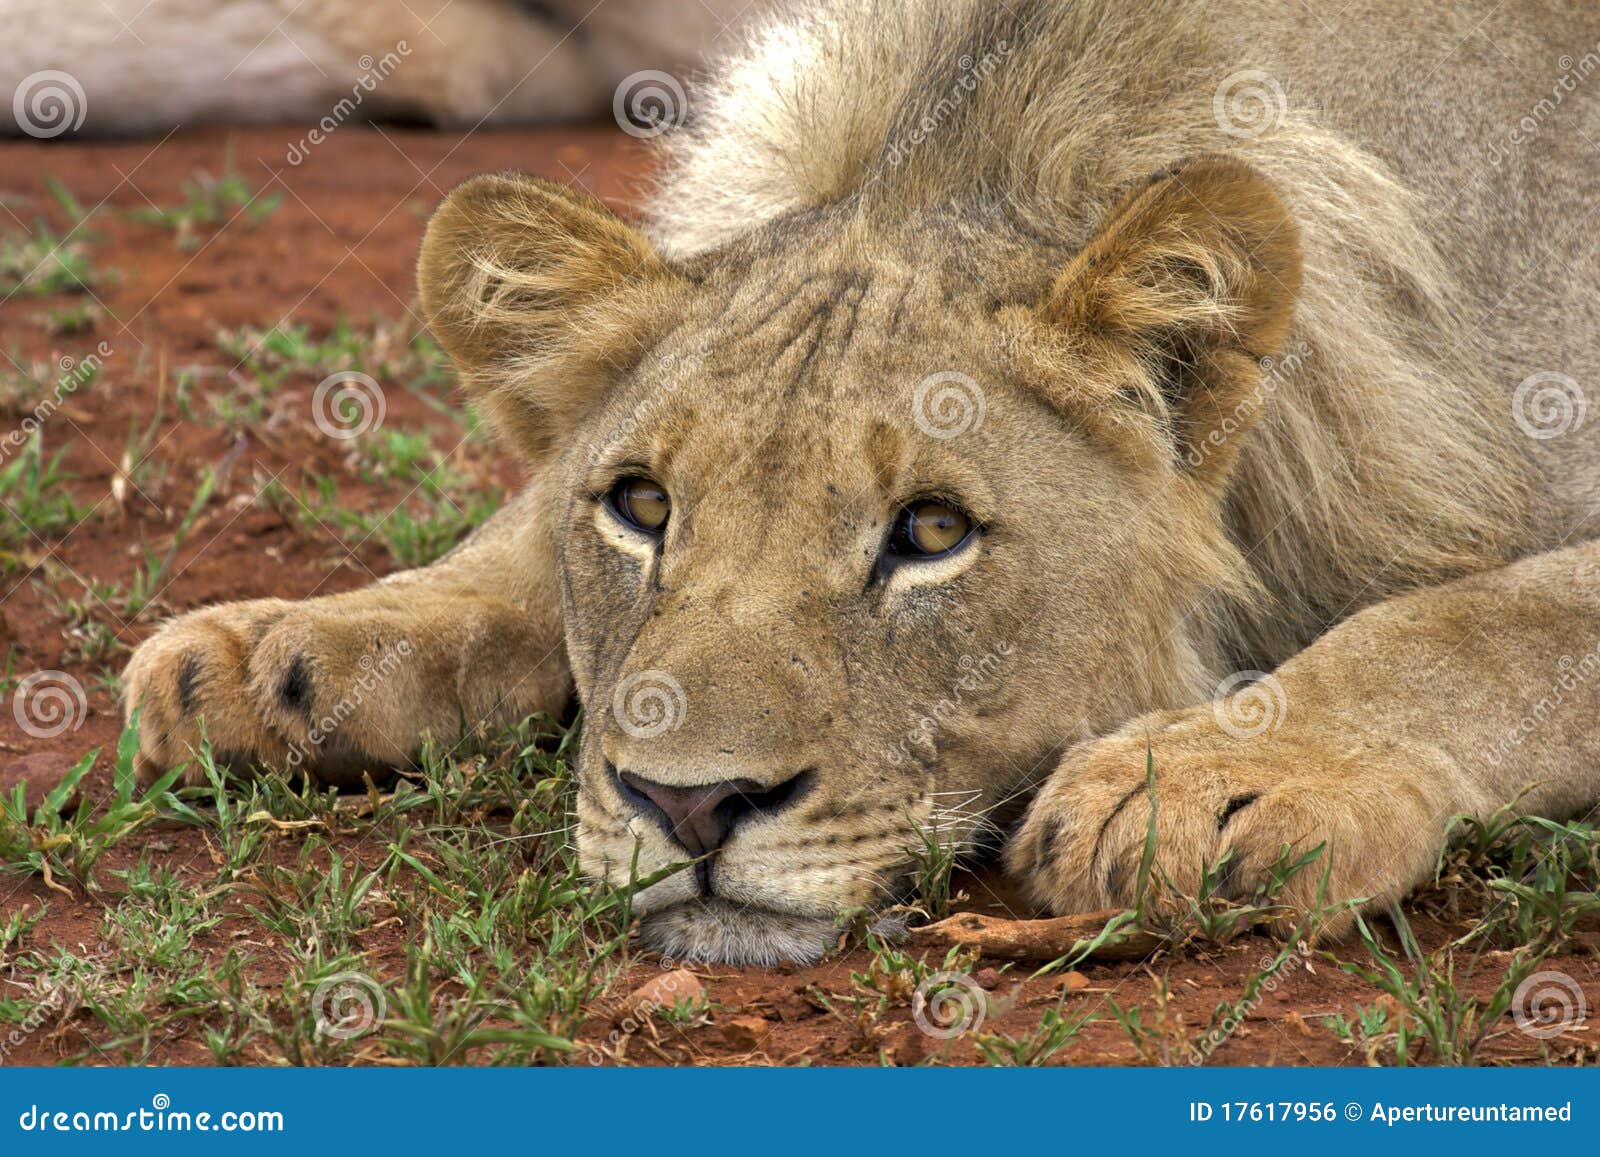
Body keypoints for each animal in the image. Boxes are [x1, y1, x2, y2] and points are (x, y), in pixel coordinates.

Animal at [123, 0, 1600, 964]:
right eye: (642, 505)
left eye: (930, 530)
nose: (689, 806)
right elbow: (518, 534)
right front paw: (288, 649)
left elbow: (1484, 621)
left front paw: (1204, 781)